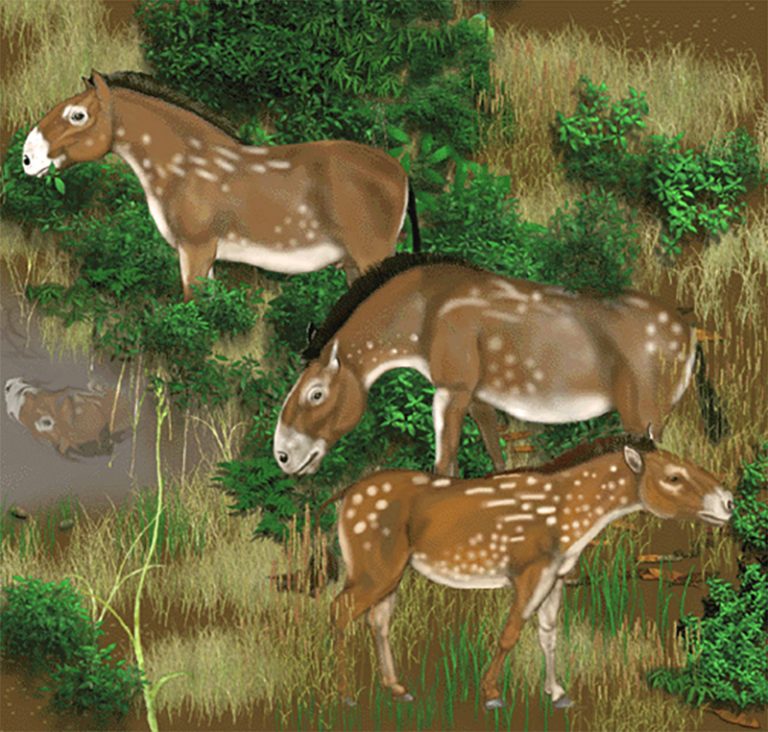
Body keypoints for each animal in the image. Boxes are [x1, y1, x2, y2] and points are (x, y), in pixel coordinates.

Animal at [21, 70, 421, 301]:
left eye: (77, 115)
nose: (27, 159)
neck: (187, 166)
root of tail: (401, 174)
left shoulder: (196, 248)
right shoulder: (206, 255)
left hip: (371, 256)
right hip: (353, 264)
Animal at [274, 254, 704, 477]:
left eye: (316, 393)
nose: (282, 456)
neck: (429, 309)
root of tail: (689, 329)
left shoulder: (451, 391)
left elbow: (443, 466)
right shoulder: (478, 398)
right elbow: (495, 457)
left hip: (642, 415)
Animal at [329, 443, 733, 709]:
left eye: (684, 464)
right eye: (673, 477)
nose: (729, 502)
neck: (573, 523)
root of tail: (343, 497)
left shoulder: (557, 574)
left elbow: (548, 633)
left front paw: (558, 692)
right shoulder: (529, 567)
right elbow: (511, 632)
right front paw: (492, 694)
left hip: (388, 568)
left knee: (378, 619)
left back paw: (396, 688)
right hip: (374, 562)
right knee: (340, 610)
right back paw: (345, 694)